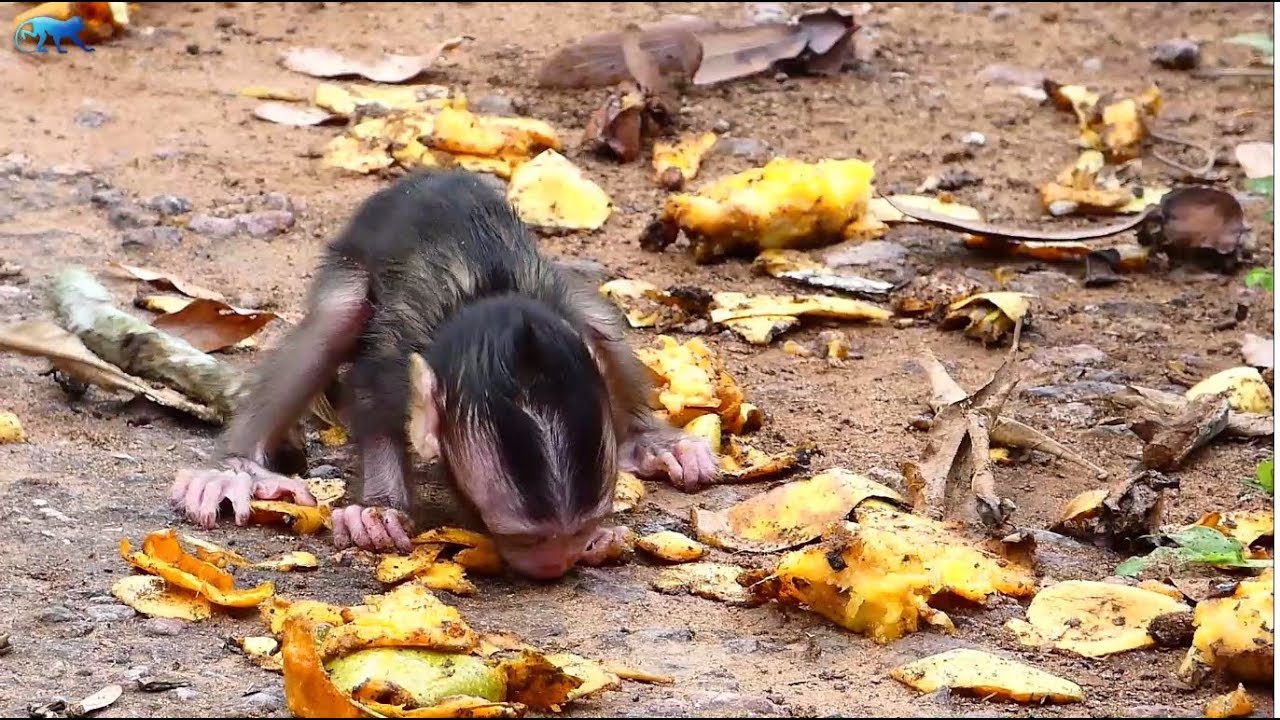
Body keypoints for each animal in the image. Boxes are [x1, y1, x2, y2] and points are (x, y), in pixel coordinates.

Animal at [170, 169, 719, 580]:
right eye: (522, 537)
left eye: (582, 528)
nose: (556, 567)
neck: (485, 299)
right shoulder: (396, 360)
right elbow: (373, 405)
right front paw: (378, 512)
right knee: (340, 314)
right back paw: (237, 467)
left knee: (599, 322)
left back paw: (651, 441)